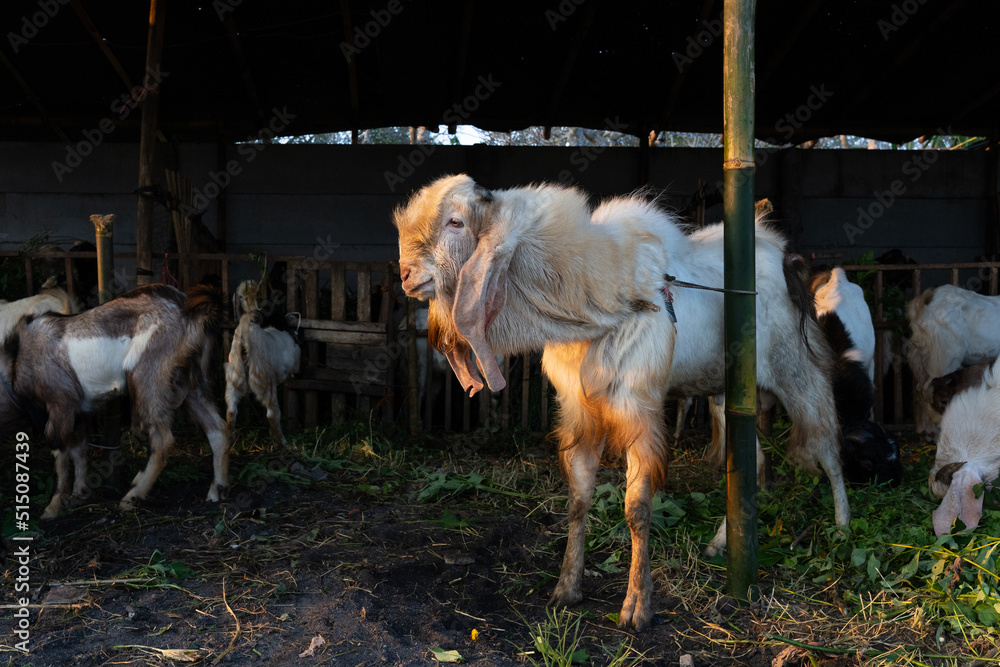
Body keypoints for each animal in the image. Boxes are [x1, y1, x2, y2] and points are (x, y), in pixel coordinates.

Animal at [1, 284, 229, 518]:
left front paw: (53, 507)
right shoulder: (79, 413)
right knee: (217, 428)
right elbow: (78, 449)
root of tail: (188, 309)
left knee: (162, 440)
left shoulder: (60, 404)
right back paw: (216, 491)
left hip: (147, 379)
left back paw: (131, 497)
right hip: (193, 382)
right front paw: (79, 495)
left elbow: (59, 451)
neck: (14, 363)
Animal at [225, 312, 300, 444]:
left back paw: (231, 440)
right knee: (272, 414)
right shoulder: (294, 358)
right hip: (265, 379)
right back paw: (282, 442)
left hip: (233, 377)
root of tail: (244, 333)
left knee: (231, 411)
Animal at [394, 174, 847, 630]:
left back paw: (842, 530)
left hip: (798, 371)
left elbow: (637, 508)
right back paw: (720, 543)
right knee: (753, 462)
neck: (600, 294)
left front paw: (637, 606)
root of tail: (781, 252)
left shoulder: (639, 411)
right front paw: (567, 588)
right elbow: (578, 500)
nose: (406, 276)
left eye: (455, 221)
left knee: (828, 447)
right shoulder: (578, 414)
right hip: (730, 396)